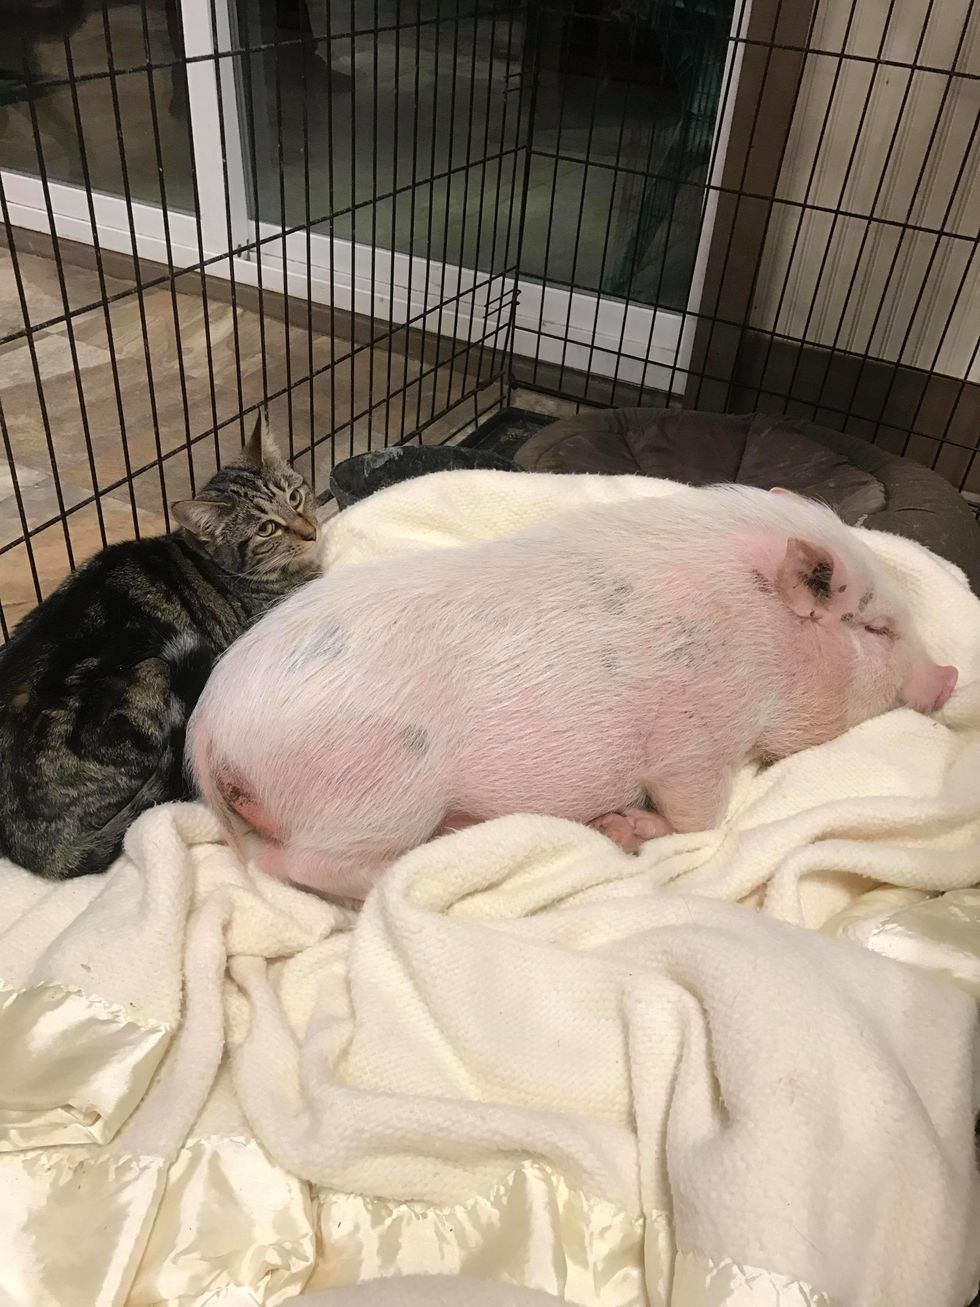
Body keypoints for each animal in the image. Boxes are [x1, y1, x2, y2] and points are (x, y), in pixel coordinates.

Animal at [188, 483, 958, 900]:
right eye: (878, 627)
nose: (949, 677)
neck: (755, 634)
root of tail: (211, 725)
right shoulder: (691, 737)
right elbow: (701, 820)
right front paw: (620, 828)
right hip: (374, 791)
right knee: (304, 861)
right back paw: (432, 854)